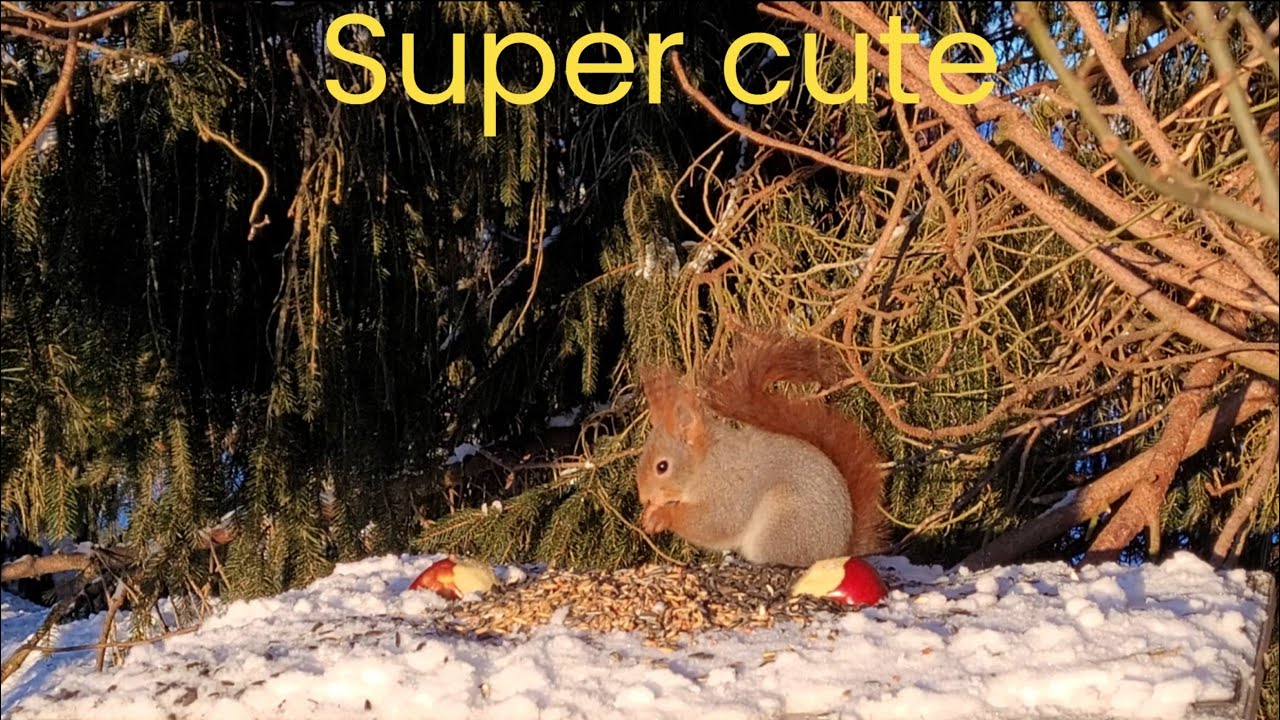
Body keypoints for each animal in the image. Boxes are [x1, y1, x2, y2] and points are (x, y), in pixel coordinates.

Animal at [634, 329, 888, 568]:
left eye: (662, 466)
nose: (644, 498)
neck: (707, 462)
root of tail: (839, 551)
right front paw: (648, 515)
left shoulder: (731, 488)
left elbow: (716, 522)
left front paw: (662, 516)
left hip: (782, 524)